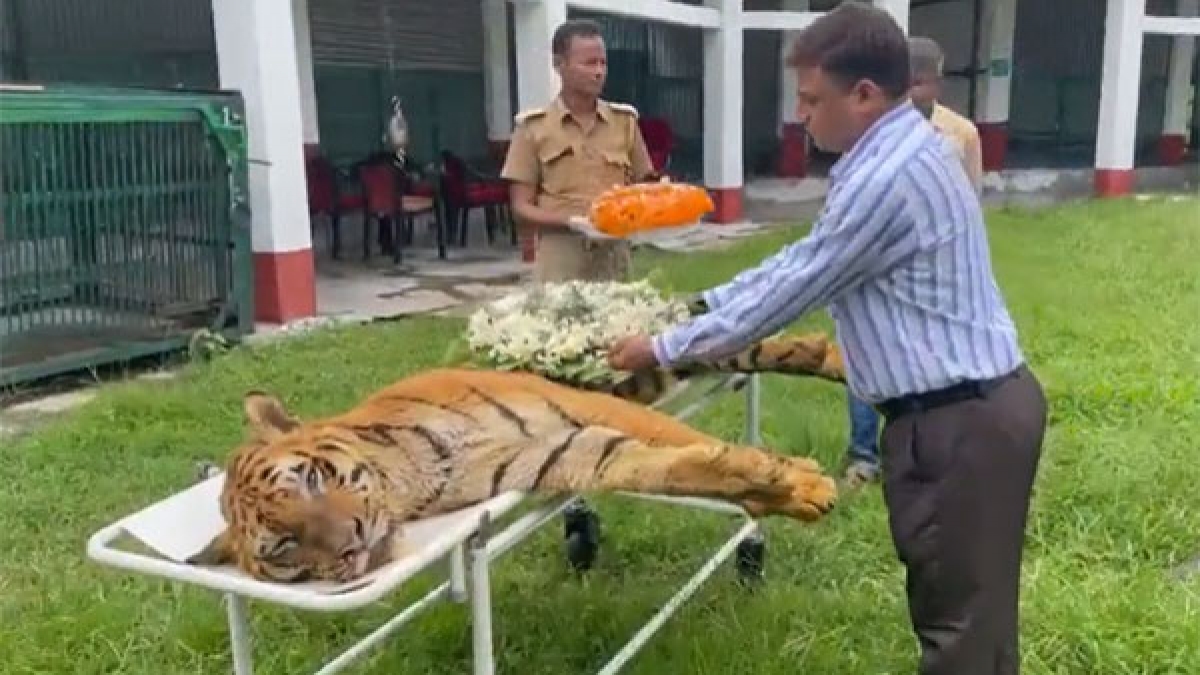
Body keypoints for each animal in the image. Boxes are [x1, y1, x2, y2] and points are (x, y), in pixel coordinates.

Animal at [186, 333, 844, 584]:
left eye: (311, 479)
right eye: (284, 547)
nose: (350, 544)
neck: (407, 479)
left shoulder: (577, 407)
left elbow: (680, 441)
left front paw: (802, 482)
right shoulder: (563, 450)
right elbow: (674, 467)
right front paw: (784, 491)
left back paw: (832, 355)